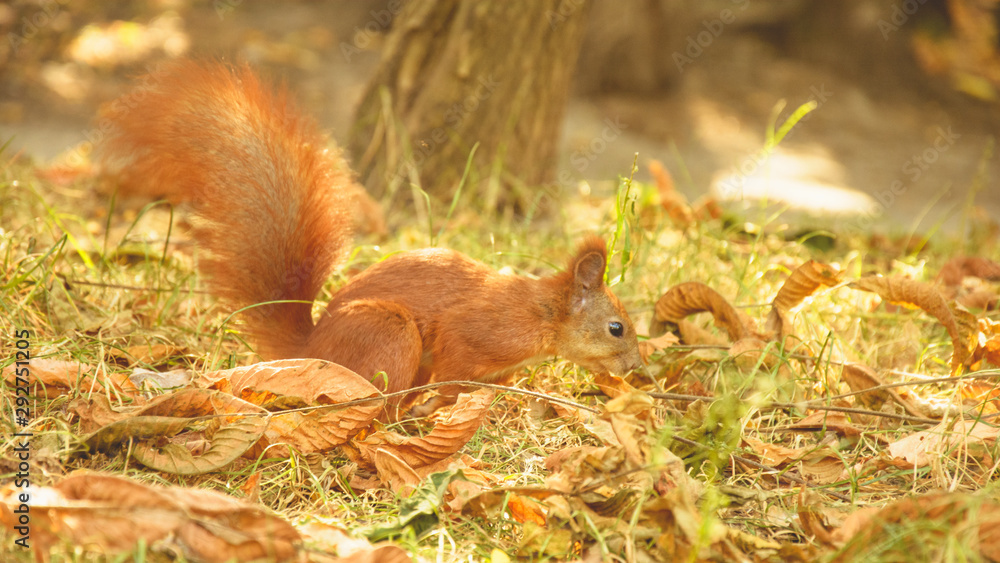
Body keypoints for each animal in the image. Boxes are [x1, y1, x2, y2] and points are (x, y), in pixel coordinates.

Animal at [98, 60, 643, 416]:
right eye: (616, 328)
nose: (639, 369)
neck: (542, 315)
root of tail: (313, 347)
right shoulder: (475, 334)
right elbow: (455, 373)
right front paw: (451, 408)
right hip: (390, 334)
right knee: (375, 401)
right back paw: (397, 418)